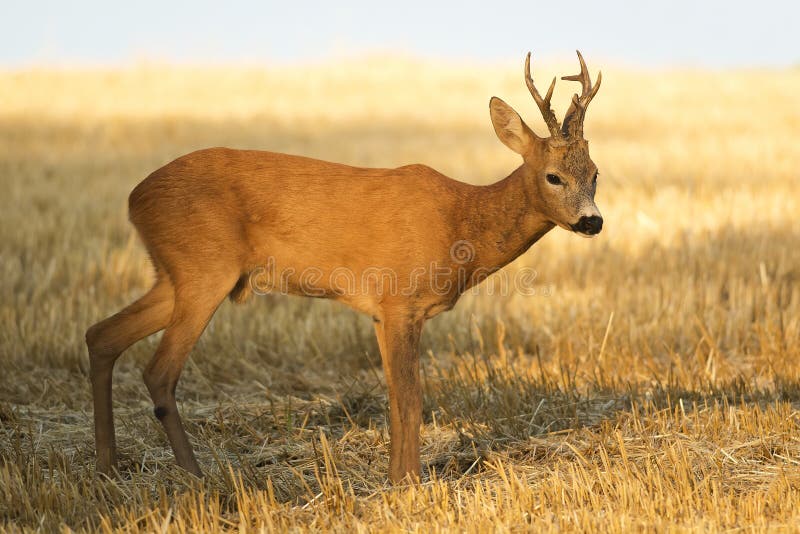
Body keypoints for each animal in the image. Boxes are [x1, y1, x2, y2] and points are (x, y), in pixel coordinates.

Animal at [85, 51, 603, 484]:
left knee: (101, 334)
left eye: (595, 174)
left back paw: (107, 466)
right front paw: (410, 483)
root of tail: (134, 199)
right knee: (159, 371)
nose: (593, 221)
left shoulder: (382, 314)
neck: (463, 222)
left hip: (176, 275)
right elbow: (411, 399)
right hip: (203, 269)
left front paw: (395, 478)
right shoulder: (400, 301)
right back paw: (197, 477)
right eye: (553, 176)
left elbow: (394, 398)